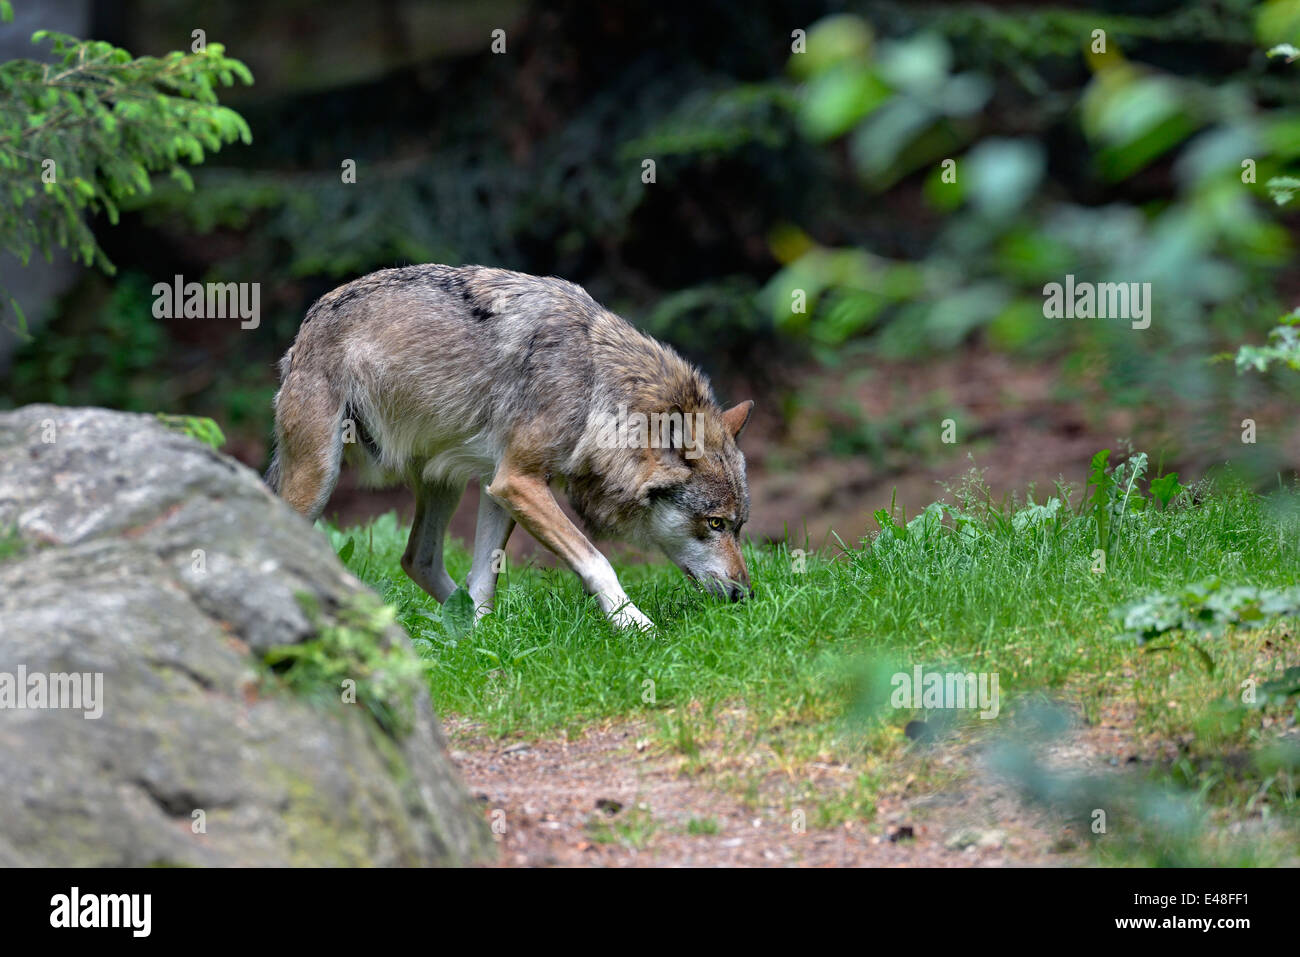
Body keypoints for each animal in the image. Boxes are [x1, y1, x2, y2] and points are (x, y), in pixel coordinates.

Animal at [266, 264, 754, 630]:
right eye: (714, 523)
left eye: (739, 527)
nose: (745, 595)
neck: (595, 383)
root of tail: (306, 326)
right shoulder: (517, 482)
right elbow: (598, 561)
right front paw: (636, 626)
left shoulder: (499, 484)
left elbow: (485, 577)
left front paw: (483, 640)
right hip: (319, 477)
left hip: (445, 480)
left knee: (417, 560)